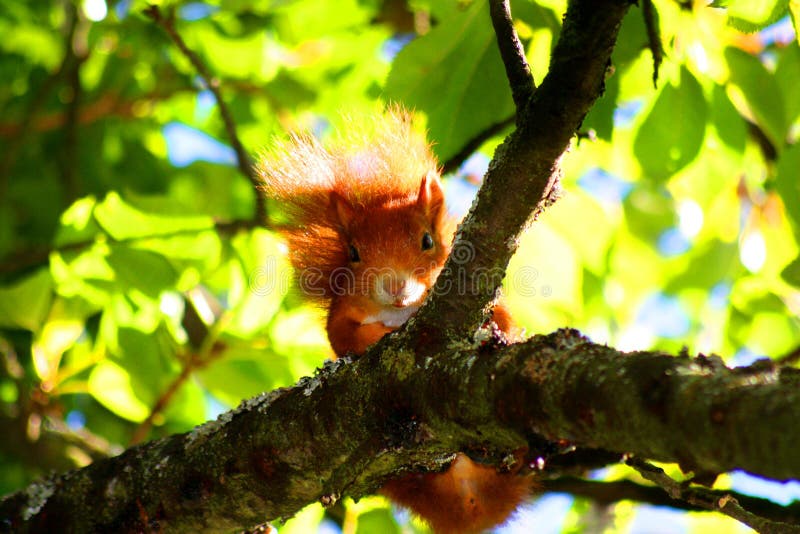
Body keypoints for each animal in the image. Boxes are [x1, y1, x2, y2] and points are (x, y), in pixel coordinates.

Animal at [257, 109, 532, 533]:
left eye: (427, 241)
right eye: (353, 253)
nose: (395, 286)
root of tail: (470, 503)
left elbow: (501, 317)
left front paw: (500, 333)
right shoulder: (342, 313)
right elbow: (342, 337)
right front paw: (375, 336)